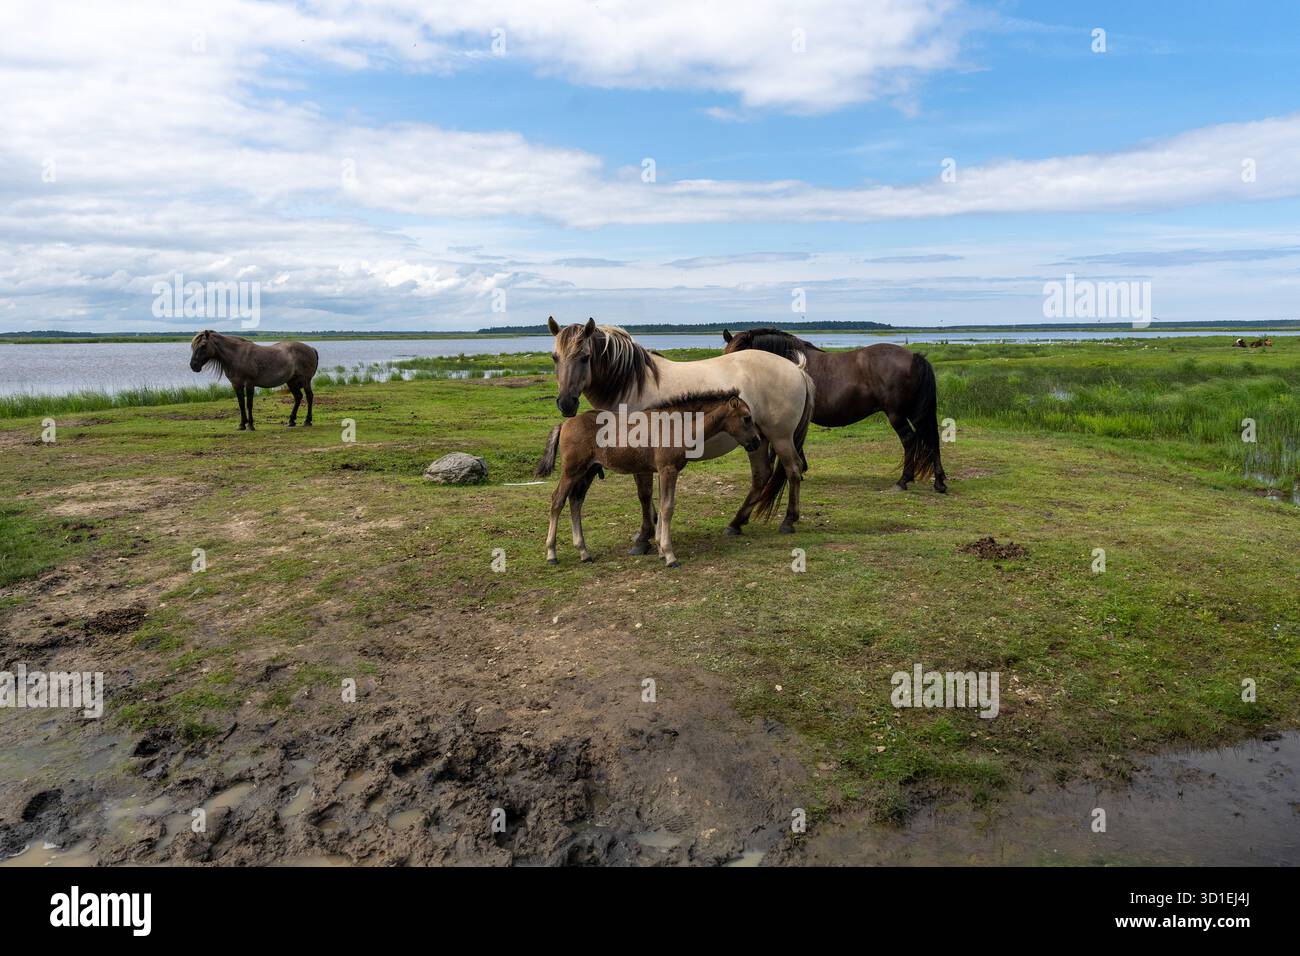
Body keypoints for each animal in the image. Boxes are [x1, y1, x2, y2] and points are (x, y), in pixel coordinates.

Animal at [189, 330, 319, 430]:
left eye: (203, 345)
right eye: (193, 346)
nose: (193, 365)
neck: (237, 356)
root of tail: (311, 349)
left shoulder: (249, 384)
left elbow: (249, 404)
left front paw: (250, 425)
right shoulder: (236, 385)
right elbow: (241, 404)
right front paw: (242, 425)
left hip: (305, 381)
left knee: (309, 397)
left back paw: (307, 421)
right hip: (291, 381)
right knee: (298, 397)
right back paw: (291, 421)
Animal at [535, 390, 761, 567]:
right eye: (746, 418)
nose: (756, 442)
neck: (678, 426)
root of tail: (564, 423)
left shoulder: (663, 471)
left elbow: (661, 507)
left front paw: (661, 550)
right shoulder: (668, 469)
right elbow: (668, 507)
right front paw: (669, 555)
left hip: (588, 470)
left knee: (576, 500)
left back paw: (584, 552)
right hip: (571, 470)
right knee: (557, 500)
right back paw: (551, 554)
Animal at [547, 317, 816, 542]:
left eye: (584, 357)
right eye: (555, 357)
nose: (566, 403)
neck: (631, 384)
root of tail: (797, 369)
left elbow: (644, 494)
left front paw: (644, 536)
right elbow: (647, 494)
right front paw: (653, 529)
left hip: (780, 437)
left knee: (793, 470)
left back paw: (788, 521)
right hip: (755, 439)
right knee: (761, 476)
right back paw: (735, 523)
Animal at [722, 327, 947, 493]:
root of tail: (915, 357)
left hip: (897, 415)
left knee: (910, 441)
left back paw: (903, 481)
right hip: (917, 412)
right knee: (931, 439)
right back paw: (939, 482)